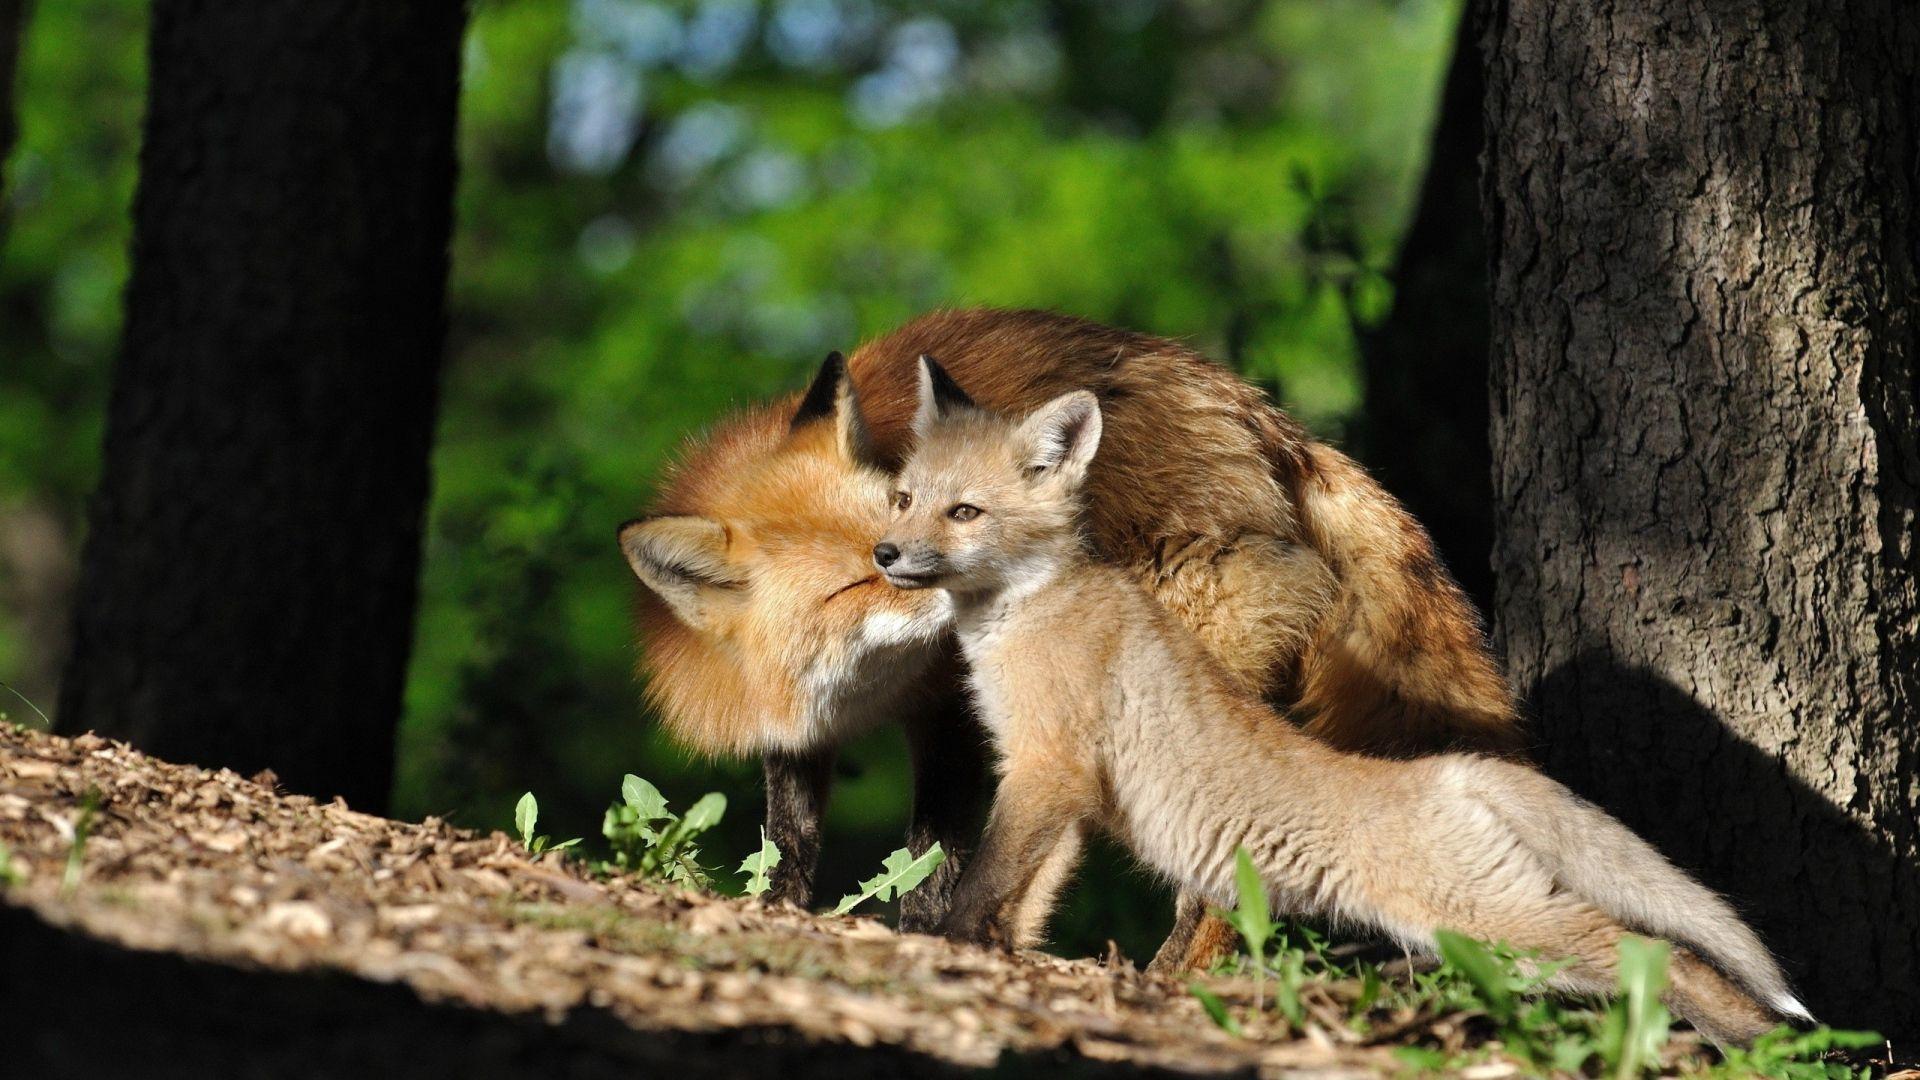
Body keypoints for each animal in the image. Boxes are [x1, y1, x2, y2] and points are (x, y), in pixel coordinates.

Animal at [618, 308, 1519, 966]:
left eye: (903, 525)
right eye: (852, 580)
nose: (948, 587)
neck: (856, 690)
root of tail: (1266, 420)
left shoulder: (949, 711)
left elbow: (932, 855)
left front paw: (921, 934)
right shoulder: (796, 729)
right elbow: (791, 837)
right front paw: (776, 910)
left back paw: (1170, 982)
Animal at [874, 358, 1811, 1045]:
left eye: (966, 512)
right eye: (904, 498)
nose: (885, 553)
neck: (1029, 612)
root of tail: (1453, 771)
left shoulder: (1048, 766)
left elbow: (982, 882)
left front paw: (942, 945)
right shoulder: (1066, 790)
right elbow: (1028, 897)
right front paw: (1015, 961)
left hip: (1487, 916)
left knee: (1665, 956)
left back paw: (1768, 1044)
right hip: (1482, 933)